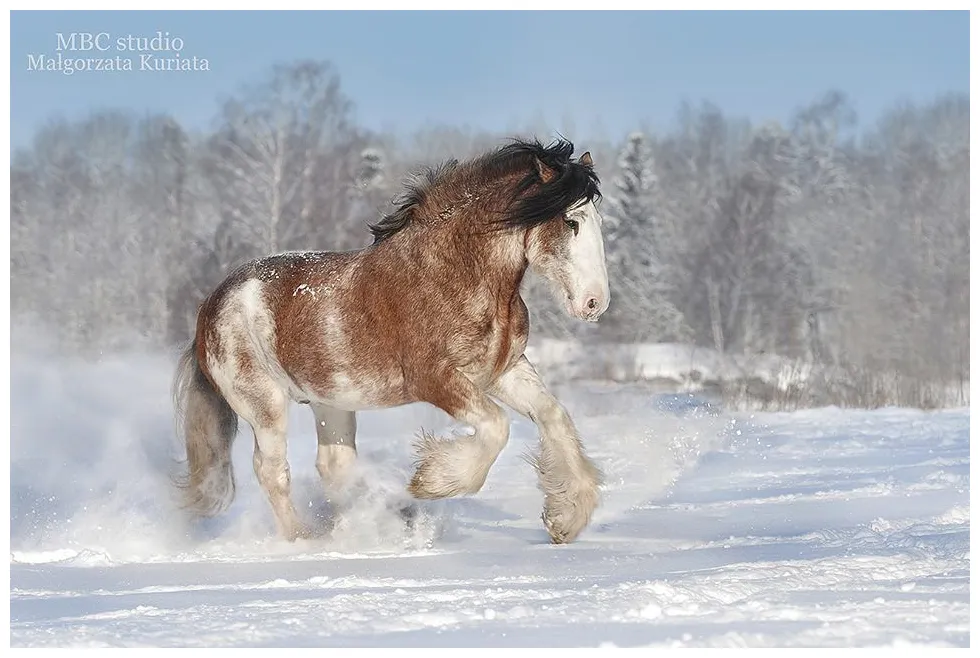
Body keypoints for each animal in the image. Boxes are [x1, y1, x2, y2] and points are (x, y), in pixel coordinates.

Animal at [172, 138, 610, 544]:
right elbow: (496, 427)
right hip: (265, 406)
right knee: (273, 472)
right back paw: (305, 539)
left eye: (597, 221)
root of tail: (210, 306)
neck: (454, 272)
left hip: (331, 403)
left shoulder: (504, 371)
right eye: (571, 222)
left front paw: (566, 521)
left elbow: (554, 416)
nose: (595, 303)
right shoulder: (435, 379)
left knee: (333, 467)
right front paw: (431, 482)